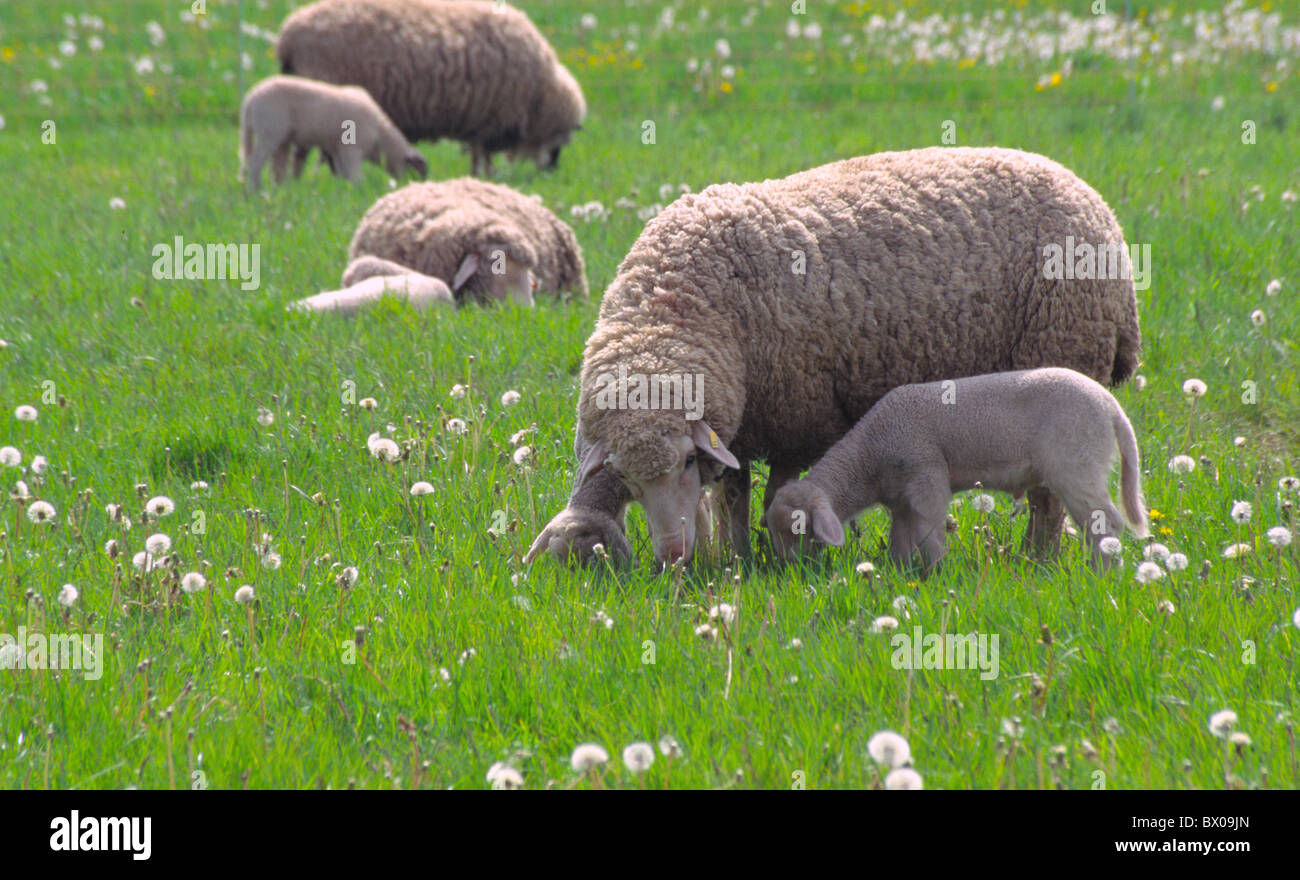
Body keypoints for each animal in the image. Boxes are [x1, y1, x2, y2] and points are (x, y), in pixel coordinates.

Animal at [239, 75, 427, 192]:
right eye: (414, 171)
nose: (408, 186)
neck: (380, 137)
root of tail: (250, 99)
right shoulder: (351, 149)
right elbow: (355, 175)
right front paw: (359, 189)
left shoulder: (338, 150)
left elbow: (344, 174)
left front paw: (344, 190)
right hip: (268, 133)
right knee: (255, 163)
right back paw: (256, 190)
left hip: (280, 139)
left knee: (276, 169)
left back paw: (280, 189)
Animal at [276, 0, 586, 177]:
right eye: (562, 141)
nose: (552, 172)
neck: (540, 92)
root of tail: (288, 37)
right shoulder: (491, 121)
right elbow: (482, 157)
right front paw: (485, 176)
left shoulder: (482, 122)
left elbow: (478, 156)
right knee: (301, 152)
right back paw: (297, 182)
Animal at [765, 367, 1148, 572]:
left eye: (797, 529)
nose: (787, 571)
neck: (868, 454)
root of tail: (1112, 407)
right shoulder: (901, 500)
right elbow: (900, 541)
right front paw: (899, 574)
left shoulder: (927, 477)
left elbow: (930, 534)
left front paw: (936, 571)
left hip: (1077, 465)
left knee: (1105, 522)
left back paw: (1102, 572)